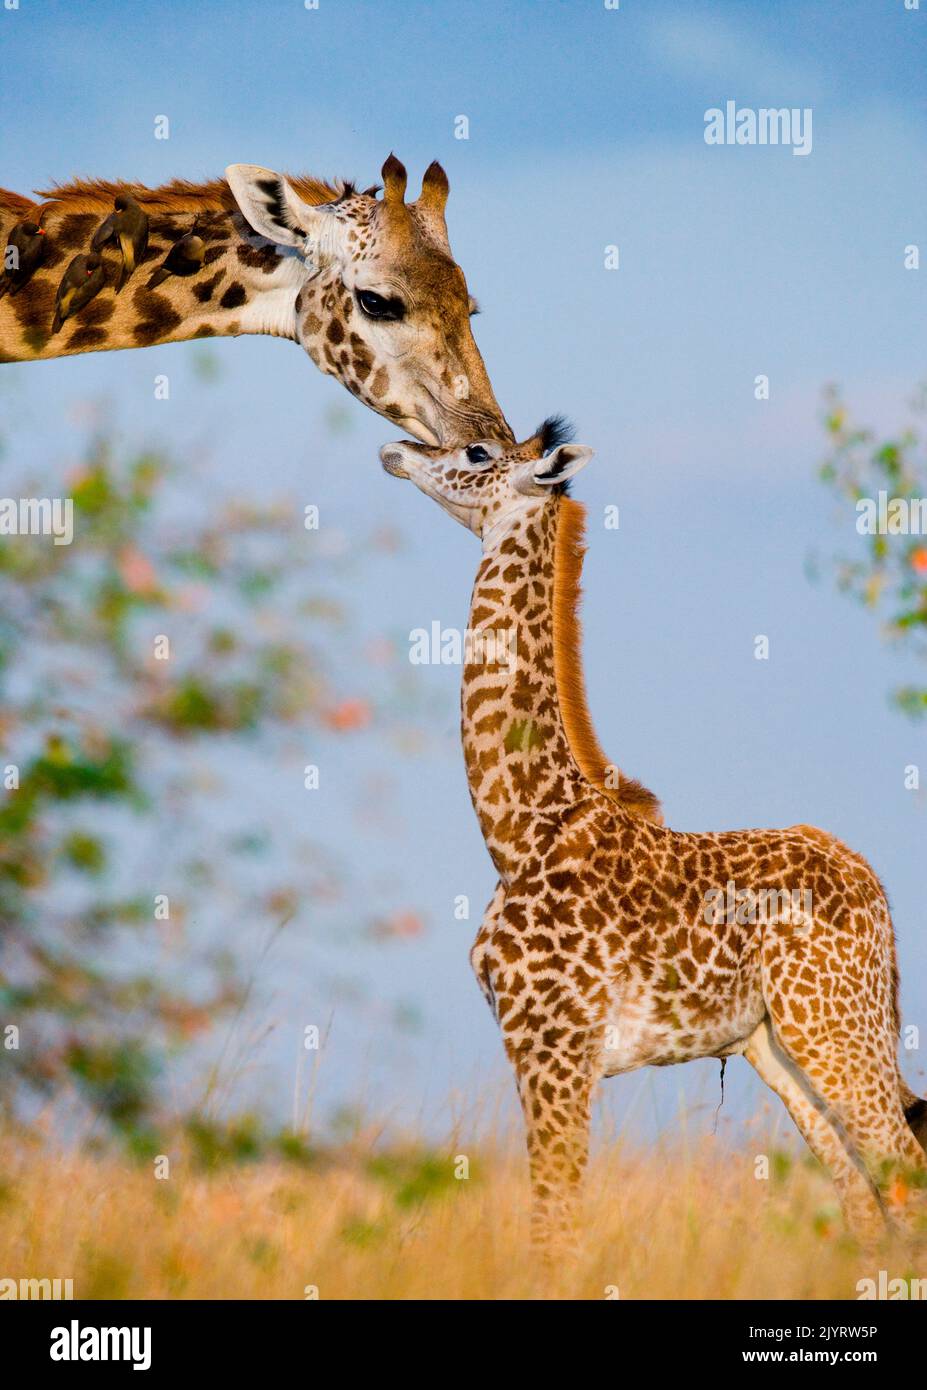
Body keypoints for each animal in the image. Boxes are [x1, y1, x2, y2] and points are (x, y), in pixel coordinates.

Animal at [379, 422, 927, 1253]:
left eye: (477, 454)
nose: (396, 451)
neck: (519, 827)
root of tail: (872, 884)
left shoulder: (557, 1046)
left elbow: (556, 1226)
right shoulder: (535, 1050)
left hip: (833, 1025)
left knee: (903, 1172)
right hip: (778, 1044)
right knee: (865, 1198)